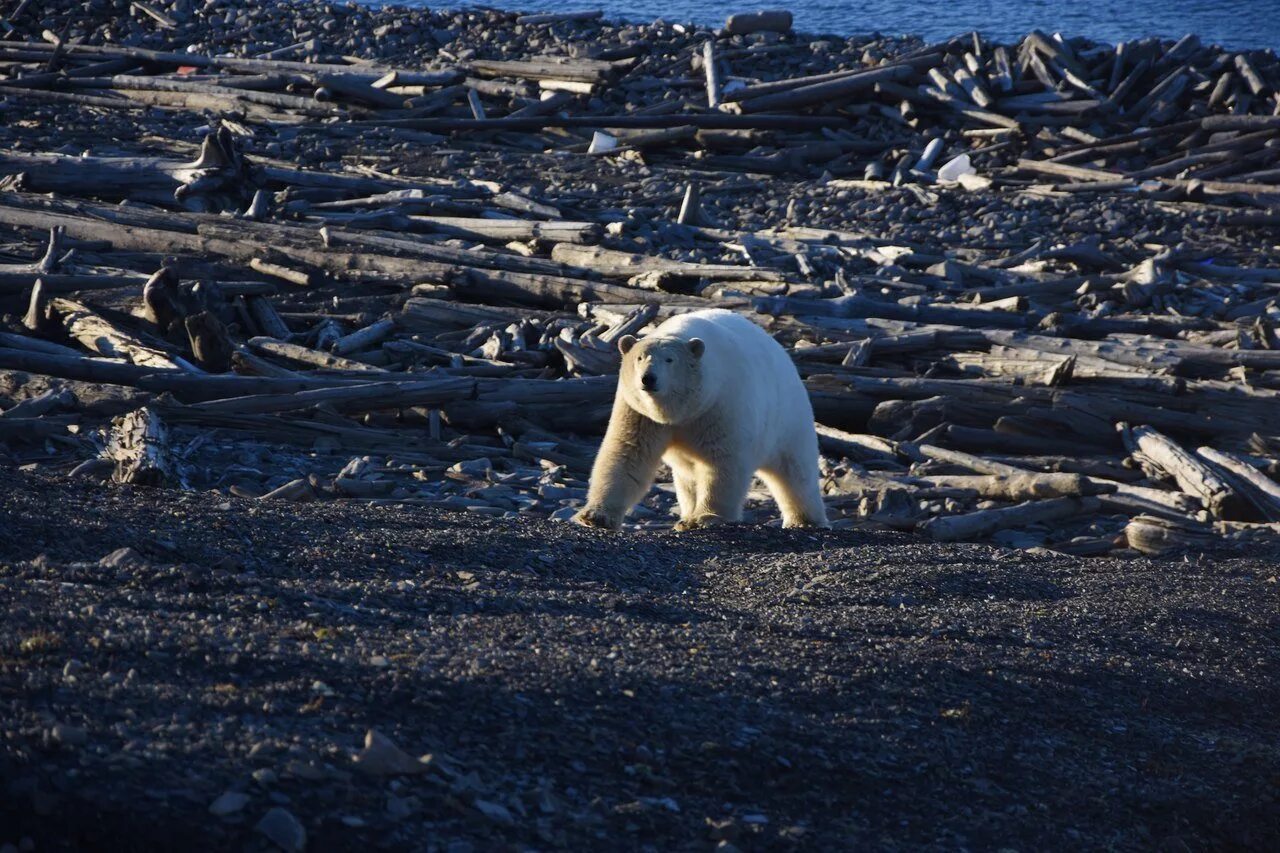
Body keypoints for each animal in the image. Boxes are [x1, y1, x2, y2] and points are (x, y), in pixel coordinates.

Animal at [570, 308, 829, 527]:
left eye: (669, 360)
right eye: (640, 358)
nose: (648, 379)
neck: (680, 411)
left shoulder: (719, 404)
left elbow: (722, 459)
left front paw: (706, 517)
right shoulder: (639, 412)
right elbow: (628, 451)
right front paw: (594, 516)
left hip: (788, 419)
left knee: (796, 472)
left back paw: (806, 520)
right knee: (687, 479)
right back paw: (685, 514)